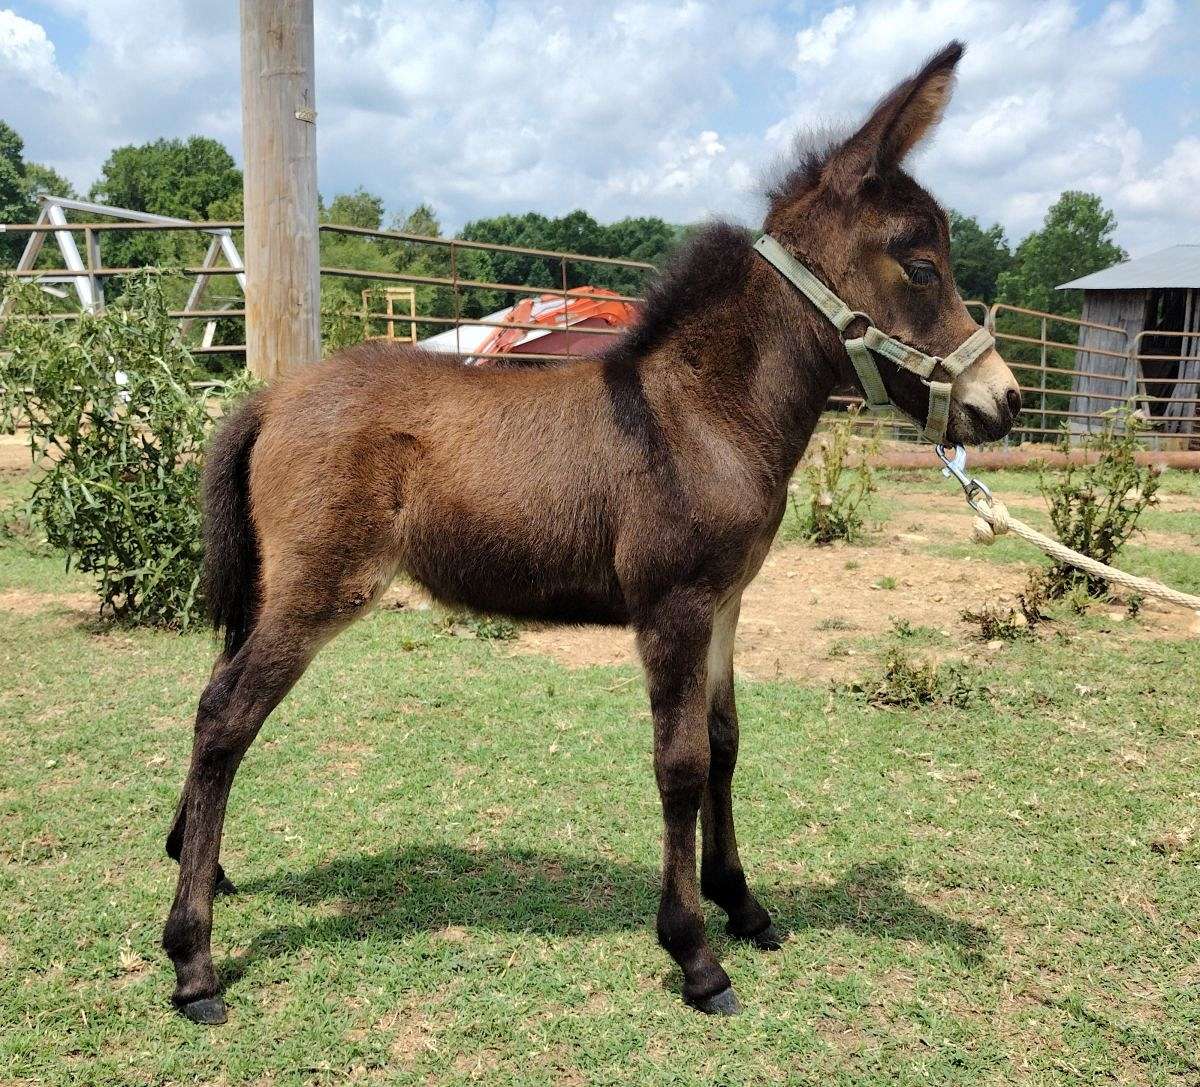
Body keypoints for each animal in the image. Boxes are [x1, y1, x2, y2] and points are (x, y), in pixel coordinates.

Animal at [163, 40, 1020, 1023]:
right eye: (920, 266)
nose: (1005, 402)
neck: (702, 413)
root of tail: (271, 397)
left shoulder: (726, 603)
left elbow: (726, 744)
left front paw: (743, 905)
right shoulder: (673, 608)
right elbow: (681, 763)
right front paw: (695, 954)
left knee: (215, 700)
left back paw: (204, 868)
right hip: (318, 588)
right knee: (225, 717)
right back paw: (192, 962)